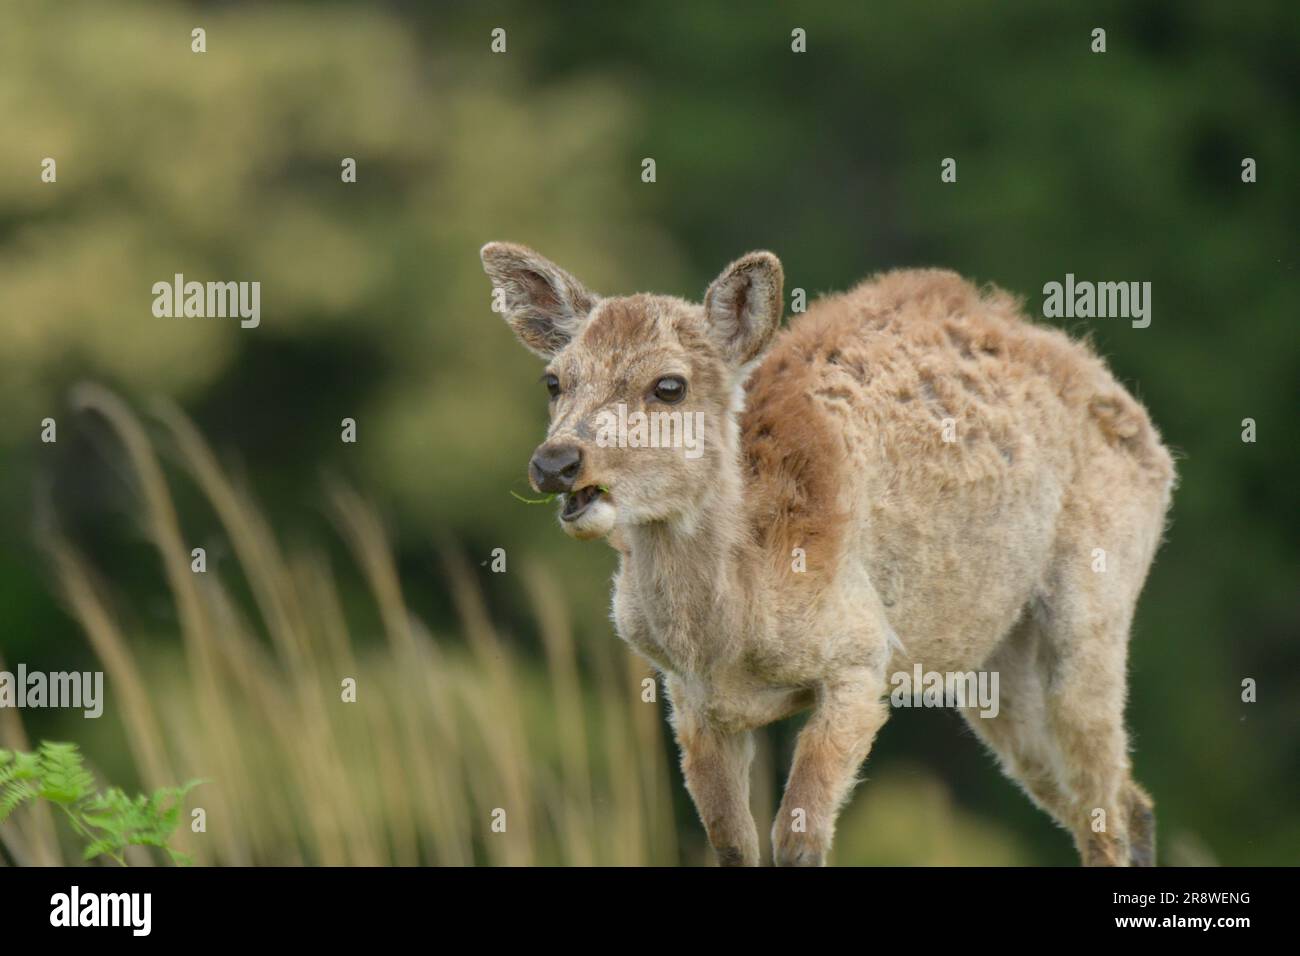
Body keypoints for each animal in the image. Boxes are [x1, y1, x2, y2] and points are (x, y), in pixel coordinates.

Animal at [481, 242, 1175, 866]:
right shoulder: (691, 699)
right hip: (997, 666)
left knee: (1105, 811)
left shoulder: (860, 658)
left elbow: (799, 842)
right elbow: (733, 846)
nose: (556, 462)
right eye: (554, 380)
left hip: (1094, 603)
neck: (731, 634)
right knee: (1125, 802)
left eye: (669, 386)